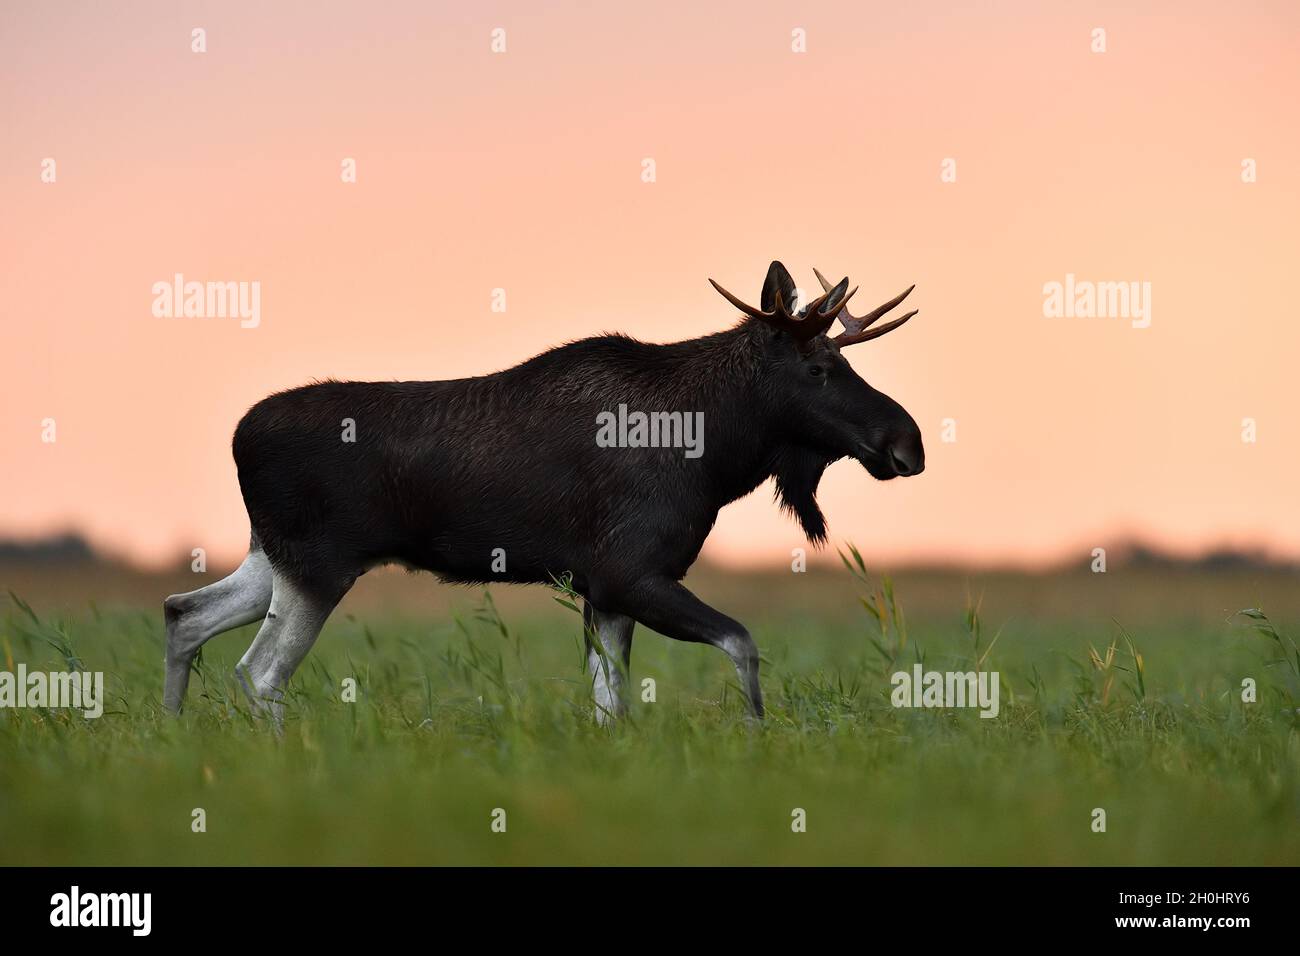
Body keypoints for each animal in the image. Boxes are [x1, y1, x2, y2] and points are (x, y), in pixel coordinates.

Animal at [162, 261, 924, 725]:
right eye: (820, 368)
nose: (907, 443)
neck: (714, 452)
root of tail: (238, 437)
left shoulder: (604, 589)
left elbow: (612, 706)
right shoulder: (628, 572)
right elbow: (743, 643)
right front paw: (756, 735)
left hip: (275, 558)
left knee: (183, 614)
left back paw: (176, 739)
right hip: (319, 566)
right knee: (258, 674)